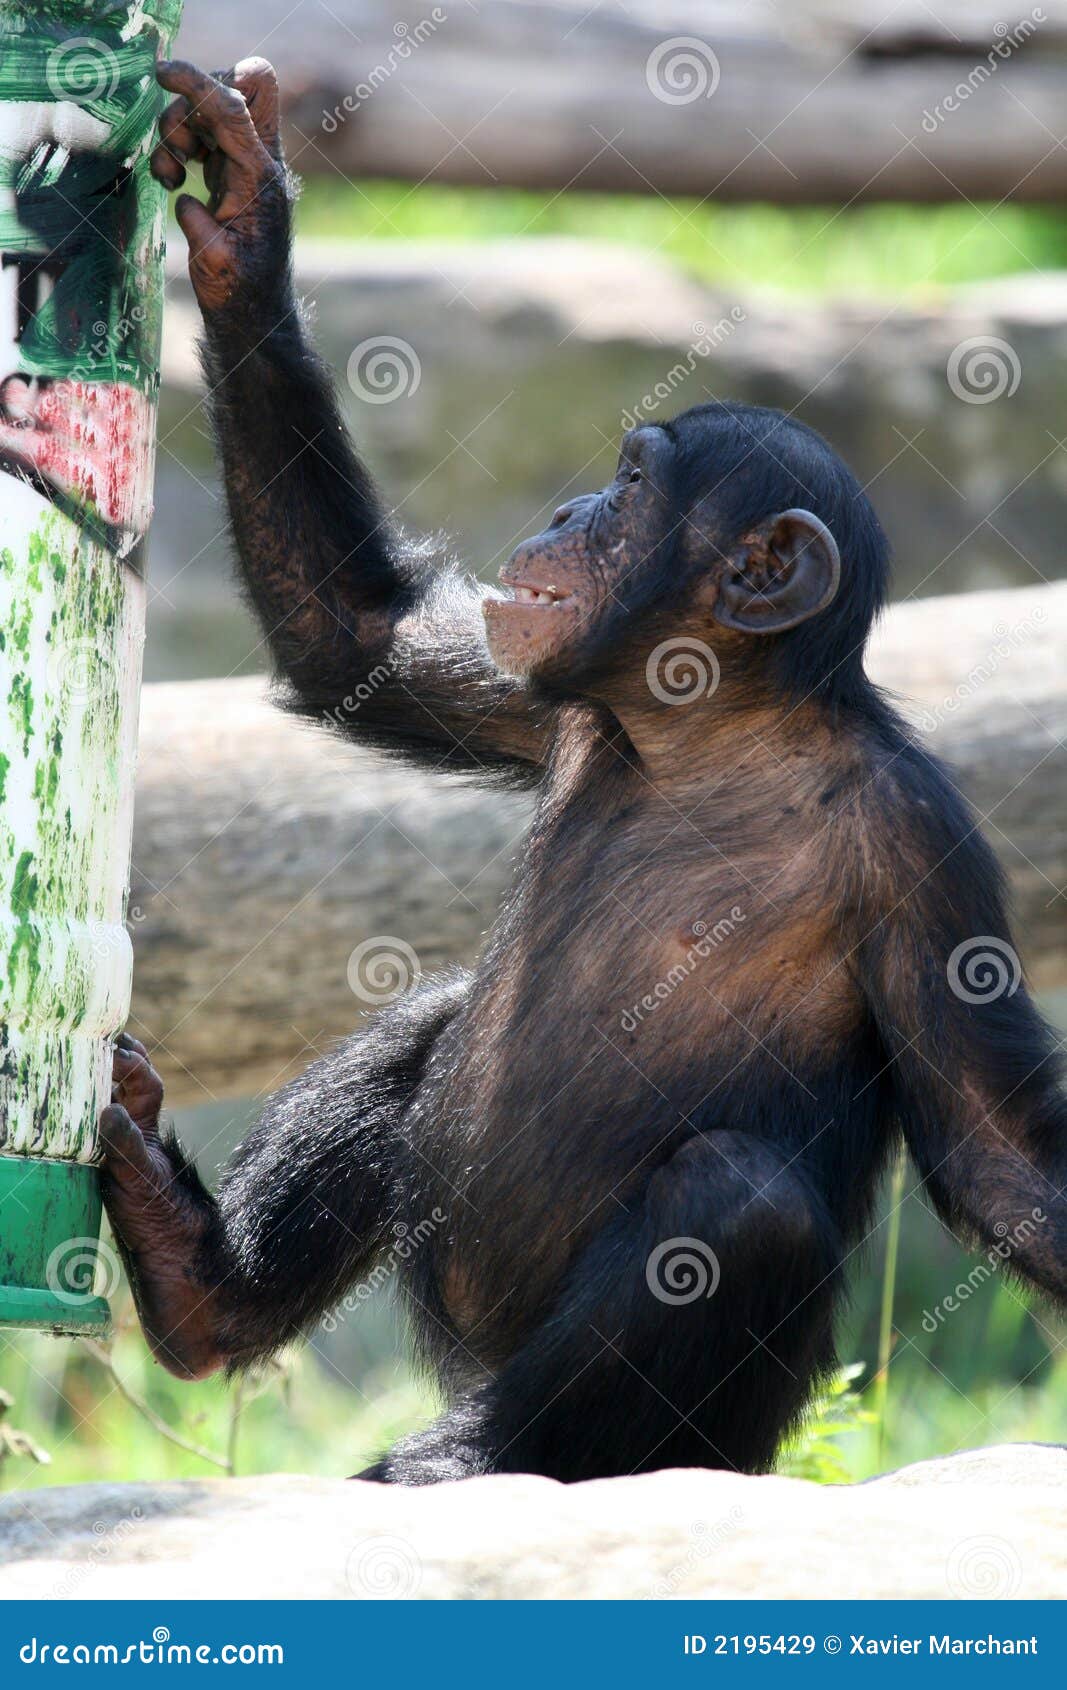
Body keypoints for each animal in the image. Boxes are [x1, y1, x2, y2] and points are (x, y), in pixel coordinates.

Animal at [100, 58, 1067, 1484]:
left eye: (627, 484)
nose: (563, 509)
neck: (709, 733)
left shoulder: (921, 847)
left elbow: (995, 1151)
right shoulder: (547, 703)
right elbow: (358, 632)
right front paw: (239, 231)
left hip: (714, 1436)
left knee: (736, 1203)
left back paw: (460, 1461)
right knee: (429, 1023)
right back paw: (199, 1282)